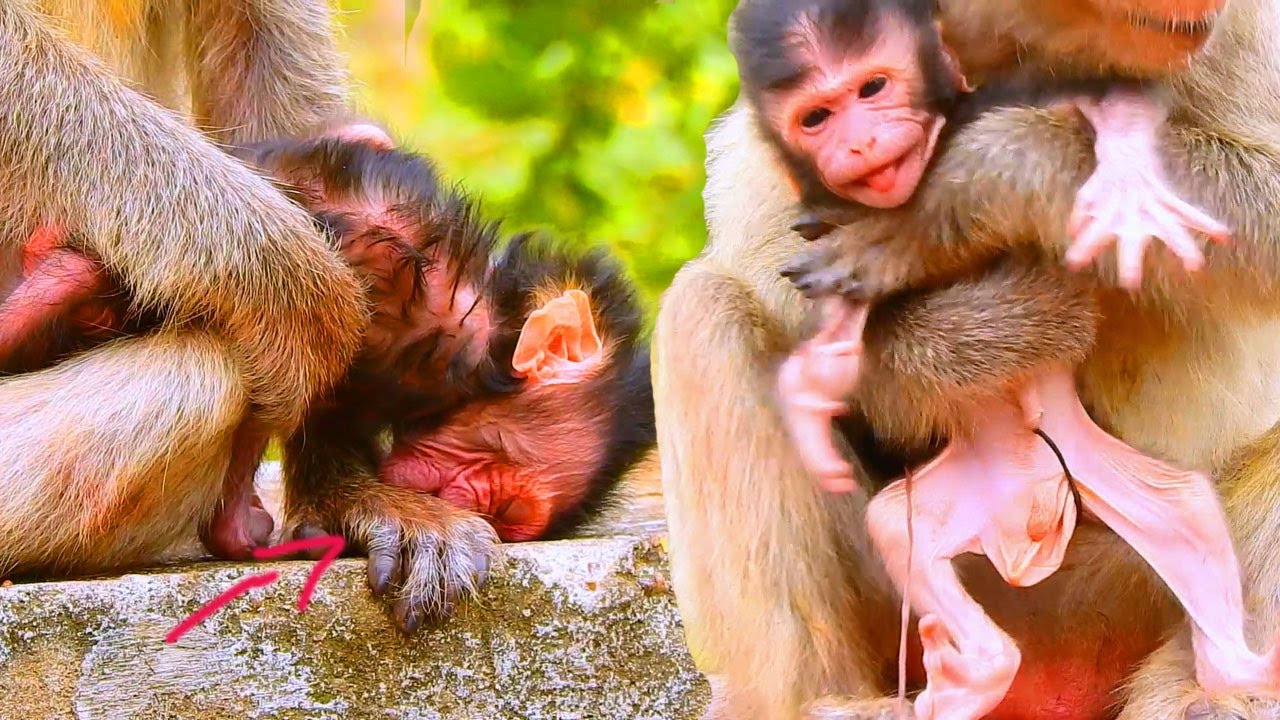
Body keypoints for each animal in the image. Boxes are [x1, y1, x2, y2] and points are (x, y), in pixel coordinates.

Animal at [654, 0, 1280, 717]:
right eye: (820, 116)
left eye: (874, 88)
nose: (864, 144)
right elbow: (758, 252)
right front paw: (975, 327)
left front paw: (965, 187)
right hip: (911, 605)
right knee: (707, 310)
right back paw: (832, 699)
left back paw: (1219, 685)